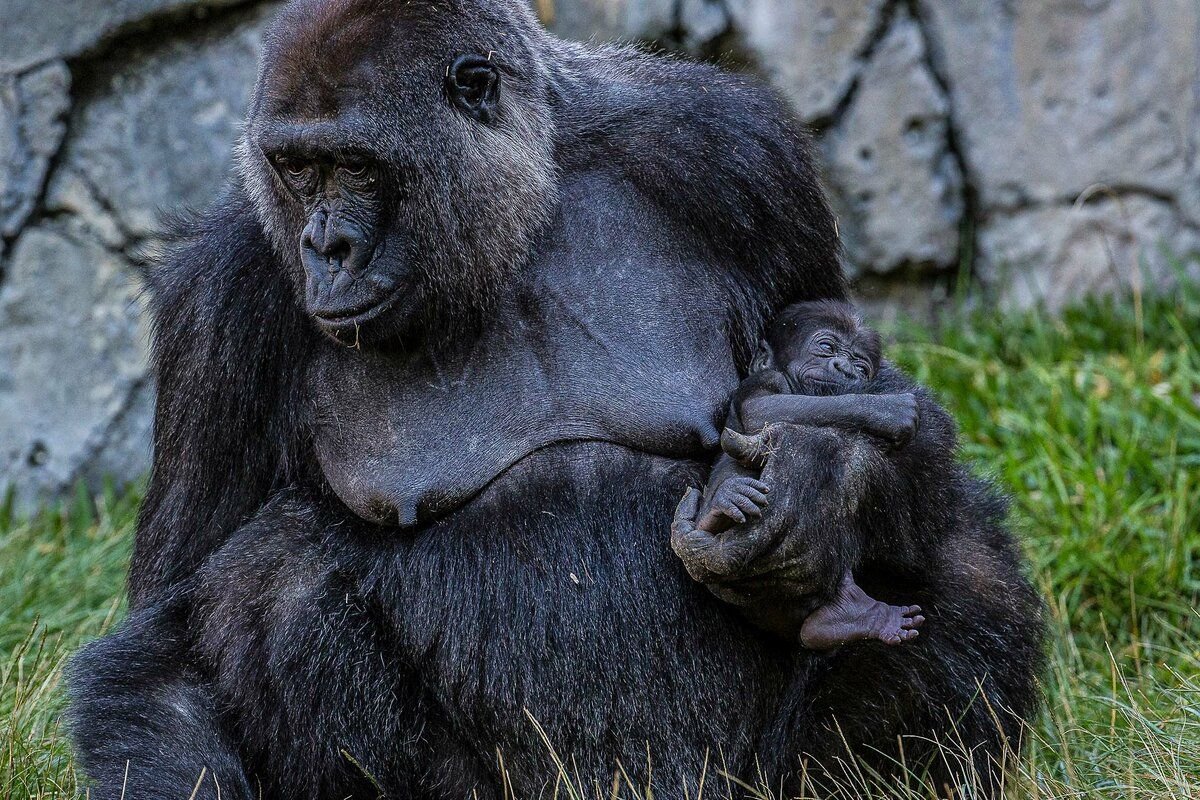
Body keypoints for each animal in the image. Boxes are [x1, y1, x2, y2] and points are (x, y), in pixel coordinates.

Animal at [676, 299, 926, 652]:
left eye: (860, 366)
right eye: (826, 347)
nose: (844, 368)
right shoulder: (766, 379)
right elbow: (759, 409)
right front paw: (888, 411)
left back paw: (850, 618)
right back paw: (725, 504)